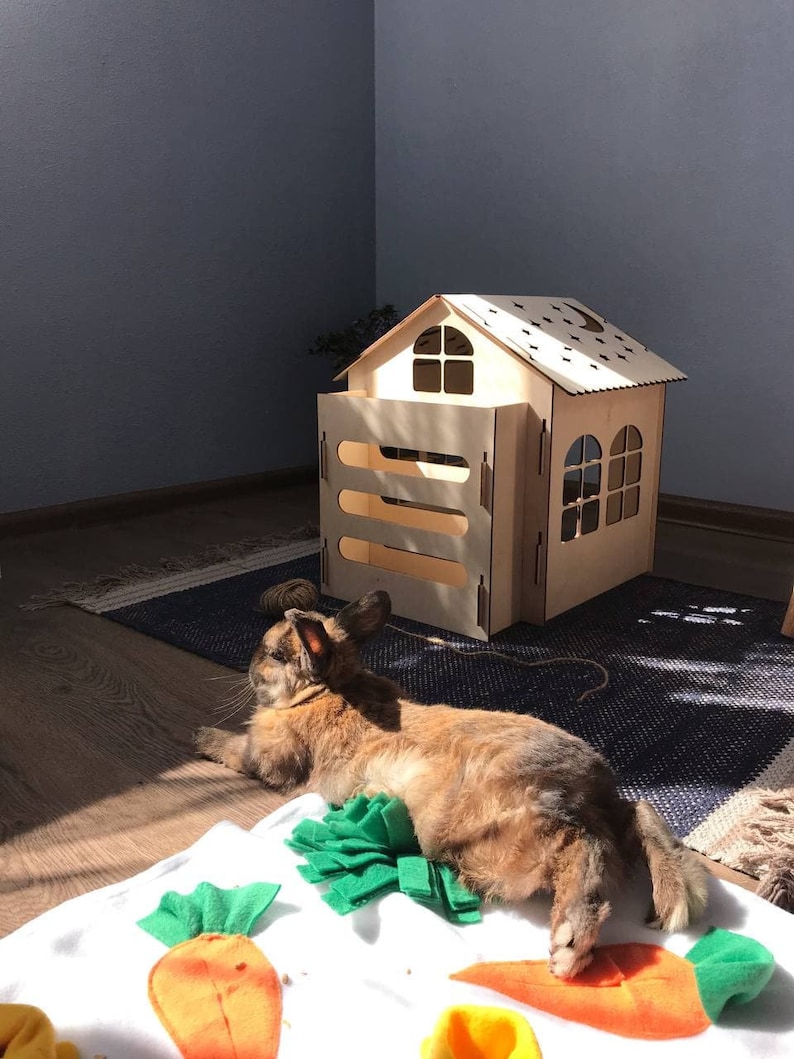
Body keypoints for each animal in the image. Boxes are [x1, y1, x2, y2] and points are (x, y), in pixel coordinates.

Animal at [195, 589, 708, 978]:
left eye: (276, 655)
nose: (250, 667)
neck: (325, 690)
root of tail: (592, 789)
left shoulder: (267, 758)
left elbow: (238, 752)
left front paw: (204, 738)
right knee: (635, 816)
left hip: (493, 839)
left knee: (585, 848)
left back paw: (569, 944)